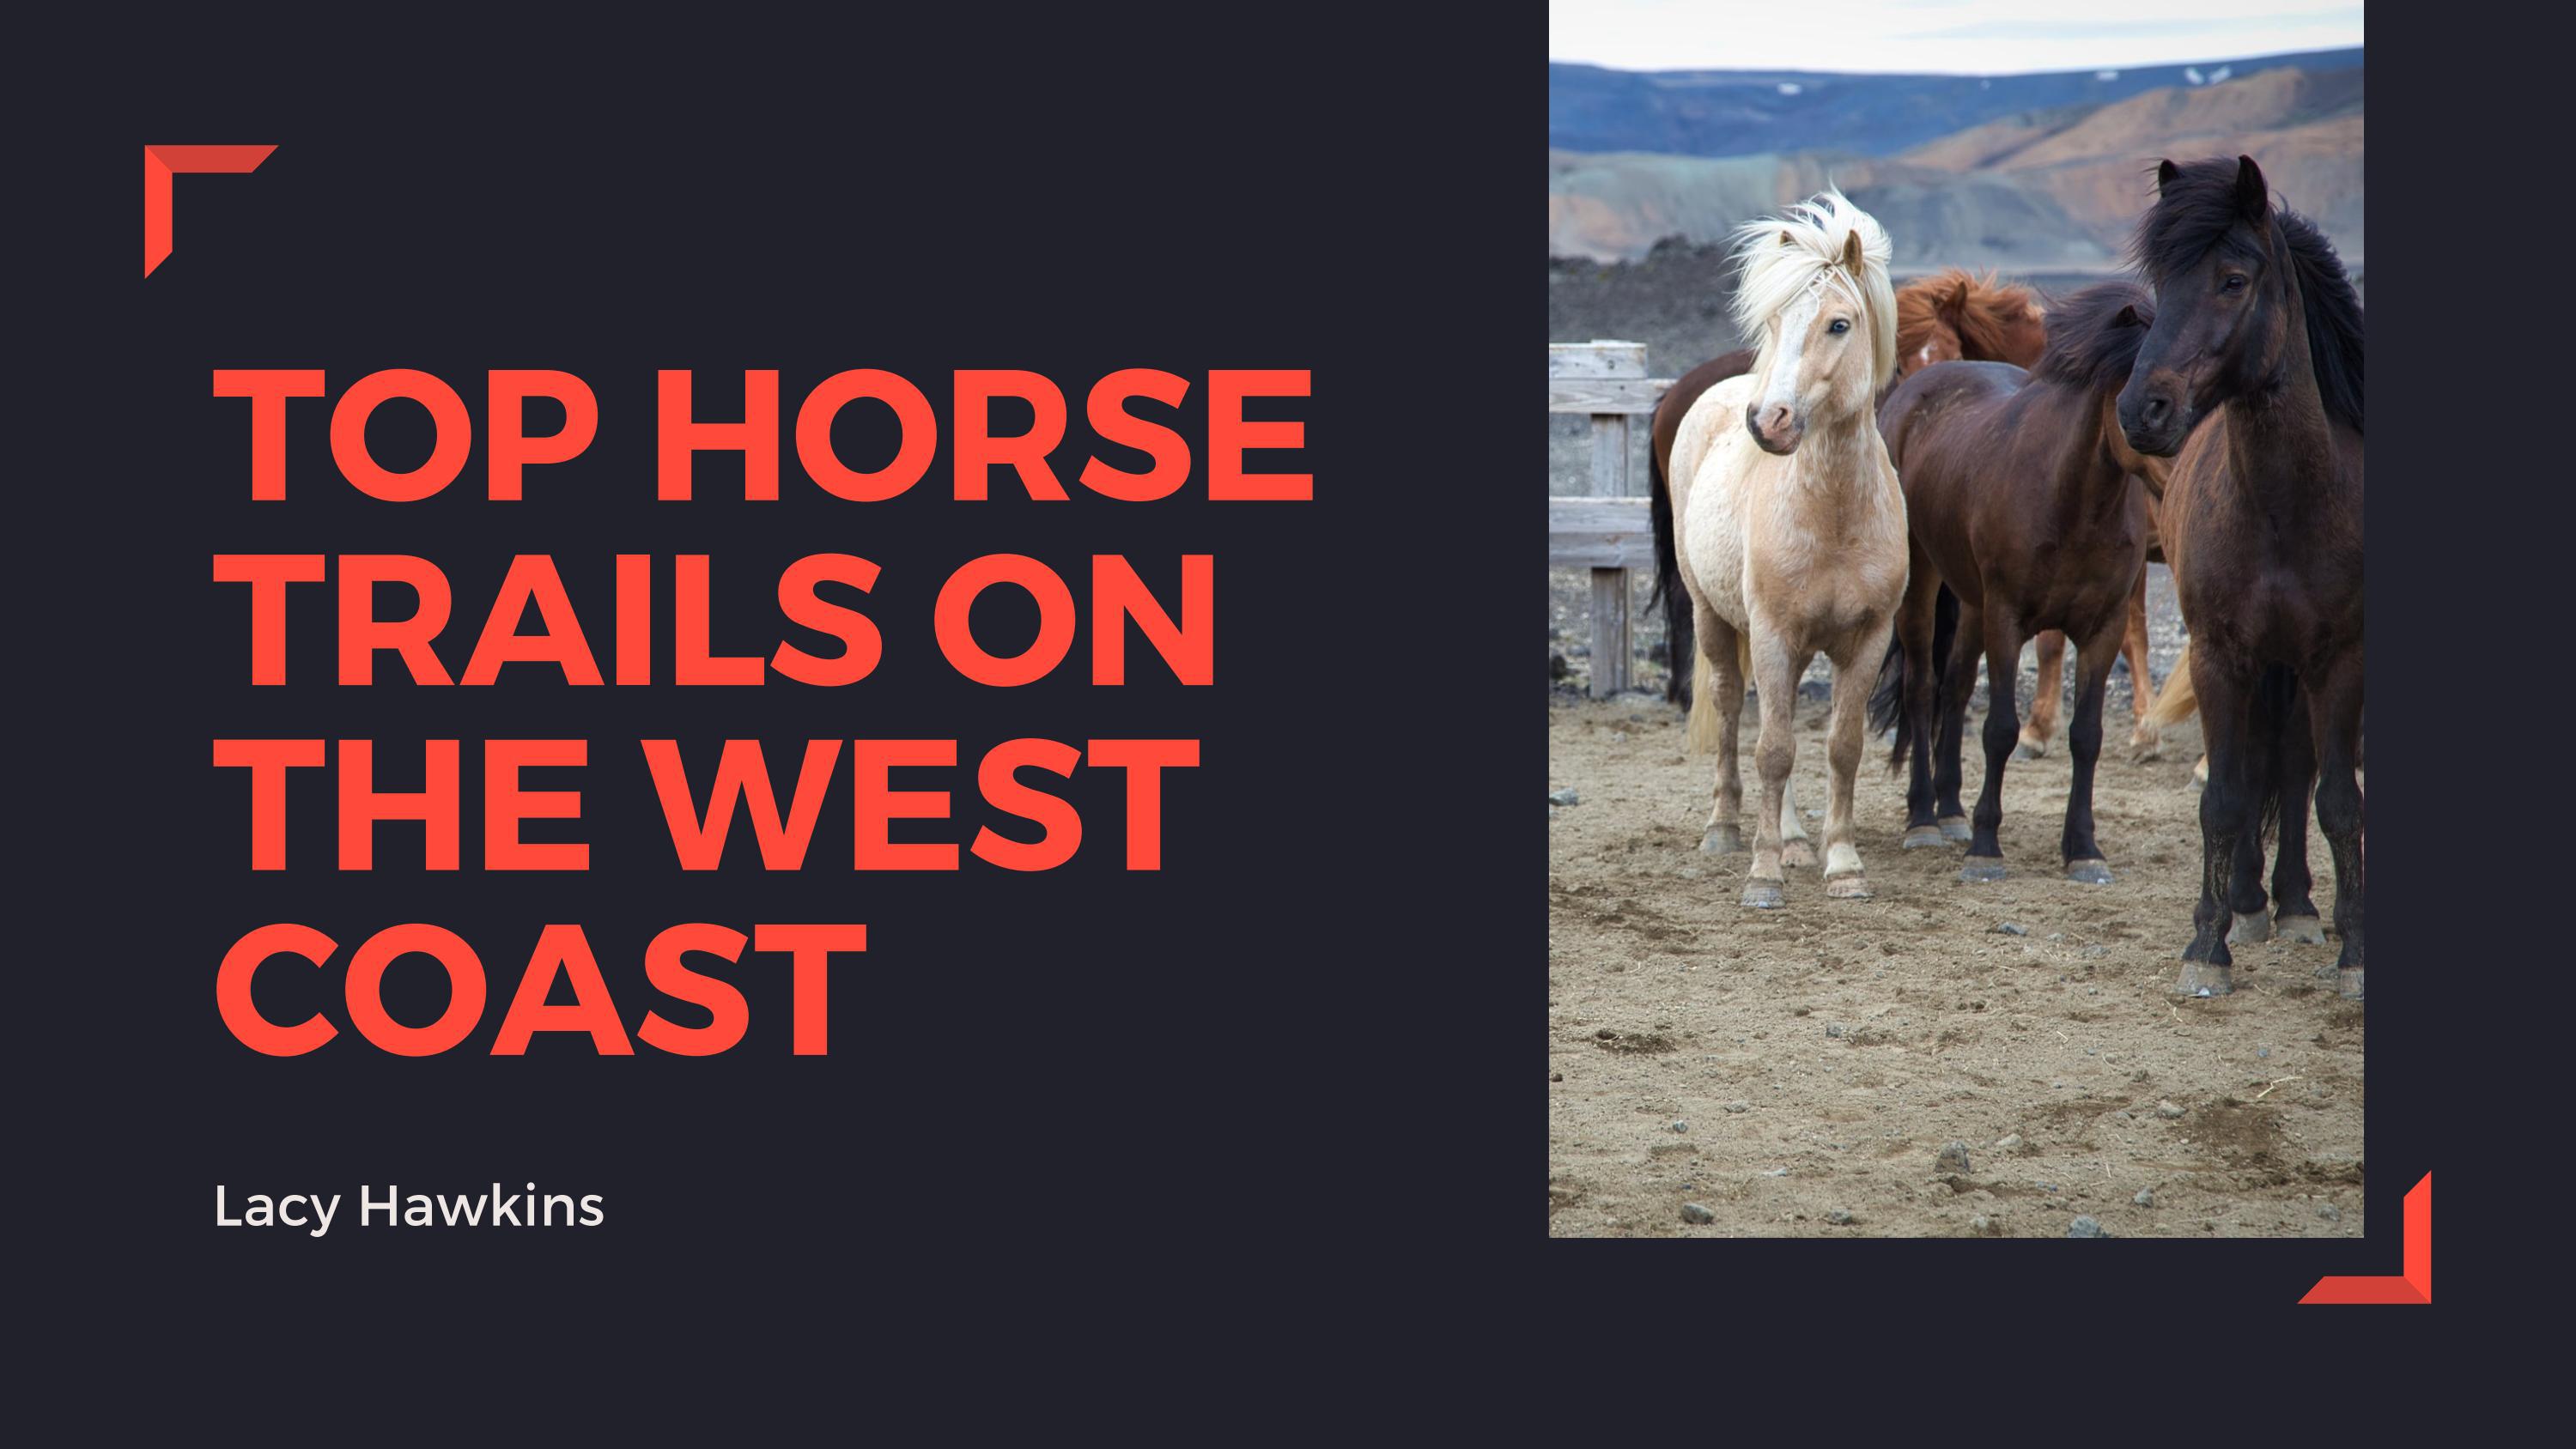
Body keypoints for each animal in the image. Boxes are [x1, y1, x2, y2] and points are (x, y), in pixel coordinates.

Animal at [1663, 190, 1906, 908]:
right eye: (1774, 322)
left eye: (1839, 324)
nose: (1766, 421)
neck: (1835, 518)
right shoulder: (1771, 633)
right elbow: (1771, 749)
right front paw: (1764, 875)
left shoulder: (1869, 638)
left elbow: (1841, 747)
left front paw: (1844, 865)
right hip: (1714, 620)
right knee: (1732, 710)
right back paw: (1726, 828)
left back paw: (1799, 839)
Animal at [1866, 281, 2161, 885]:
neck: (2071, 500)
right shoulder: (2007, 619)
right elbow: (2000, 728)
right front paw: (1985, 847)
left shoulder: (2103, 627)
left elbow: (2087, 735)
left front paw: (2083, 849)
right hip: (1923, 586)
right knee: (1922, 688)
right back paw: (1924, 818)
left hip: (1971, 602)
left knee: (1955, 687)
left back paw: (1951, 810)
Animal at [2115, 156, 2364, 1000]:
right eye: (2162, 280)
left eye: (2232, 280)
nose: (2142, 409)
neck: (2286, 504)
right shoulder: (2220, 655)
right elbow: (2224, 797)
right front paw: (2207, 944)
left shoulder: (2339, 660)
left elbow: (2336, 800)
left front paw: (2355, 949)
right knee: (2261, 765)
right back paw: (2256, 902)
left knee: (2291, 767)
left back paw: (2295, 905)